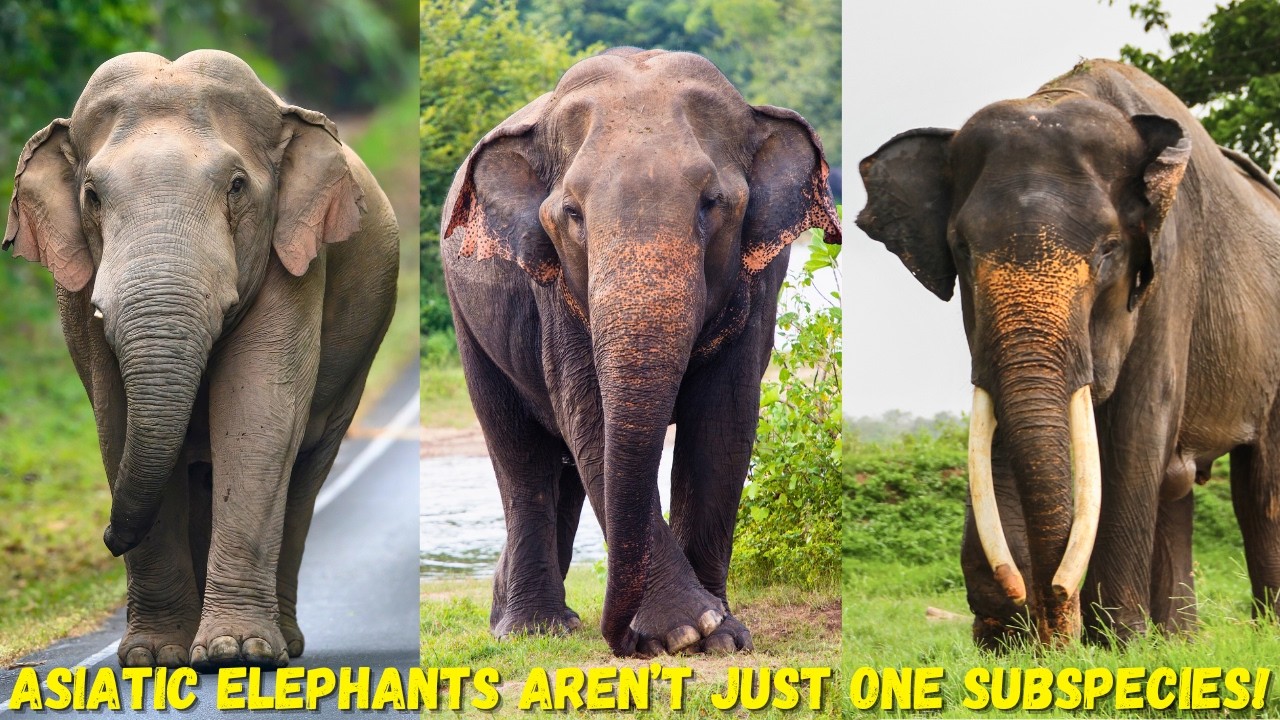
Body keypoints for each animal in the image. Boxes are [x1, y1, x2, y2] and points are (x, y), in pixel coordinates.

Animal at [3, 50, 399, 669]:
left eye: (236, 186)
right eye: (92, 196)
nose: (107, 538)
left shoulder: (294, 259)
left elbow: (257, 414)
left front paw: (237, 652)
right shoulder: (79, 289)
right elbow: (115, 423)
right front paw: (153, 657)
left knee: (304, 470)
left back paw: (283, 643)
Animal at [441, 48, 840, 657]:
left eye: (711, 203)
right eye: (572, 213)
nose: (624, 640)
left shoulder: (762, 280)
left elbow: (723, 420)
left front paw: (720, 635)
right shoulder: (553, 286)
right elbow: (592, 418)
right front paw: (686, 630)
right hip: (468, 321)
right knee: (518, 450)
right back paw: (535, 627)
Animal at [858, 59, 1280, 647]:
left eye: (1109, 250)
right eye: (961, 249)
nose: (1055, 607)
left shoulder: (1171, 273)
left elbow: (1135, 430)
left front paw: (1118, 645)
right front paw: (1008, 640)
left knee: (1259, 490)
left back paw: (1258, 631)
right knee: (1177, 489)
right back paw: (1180, 642)